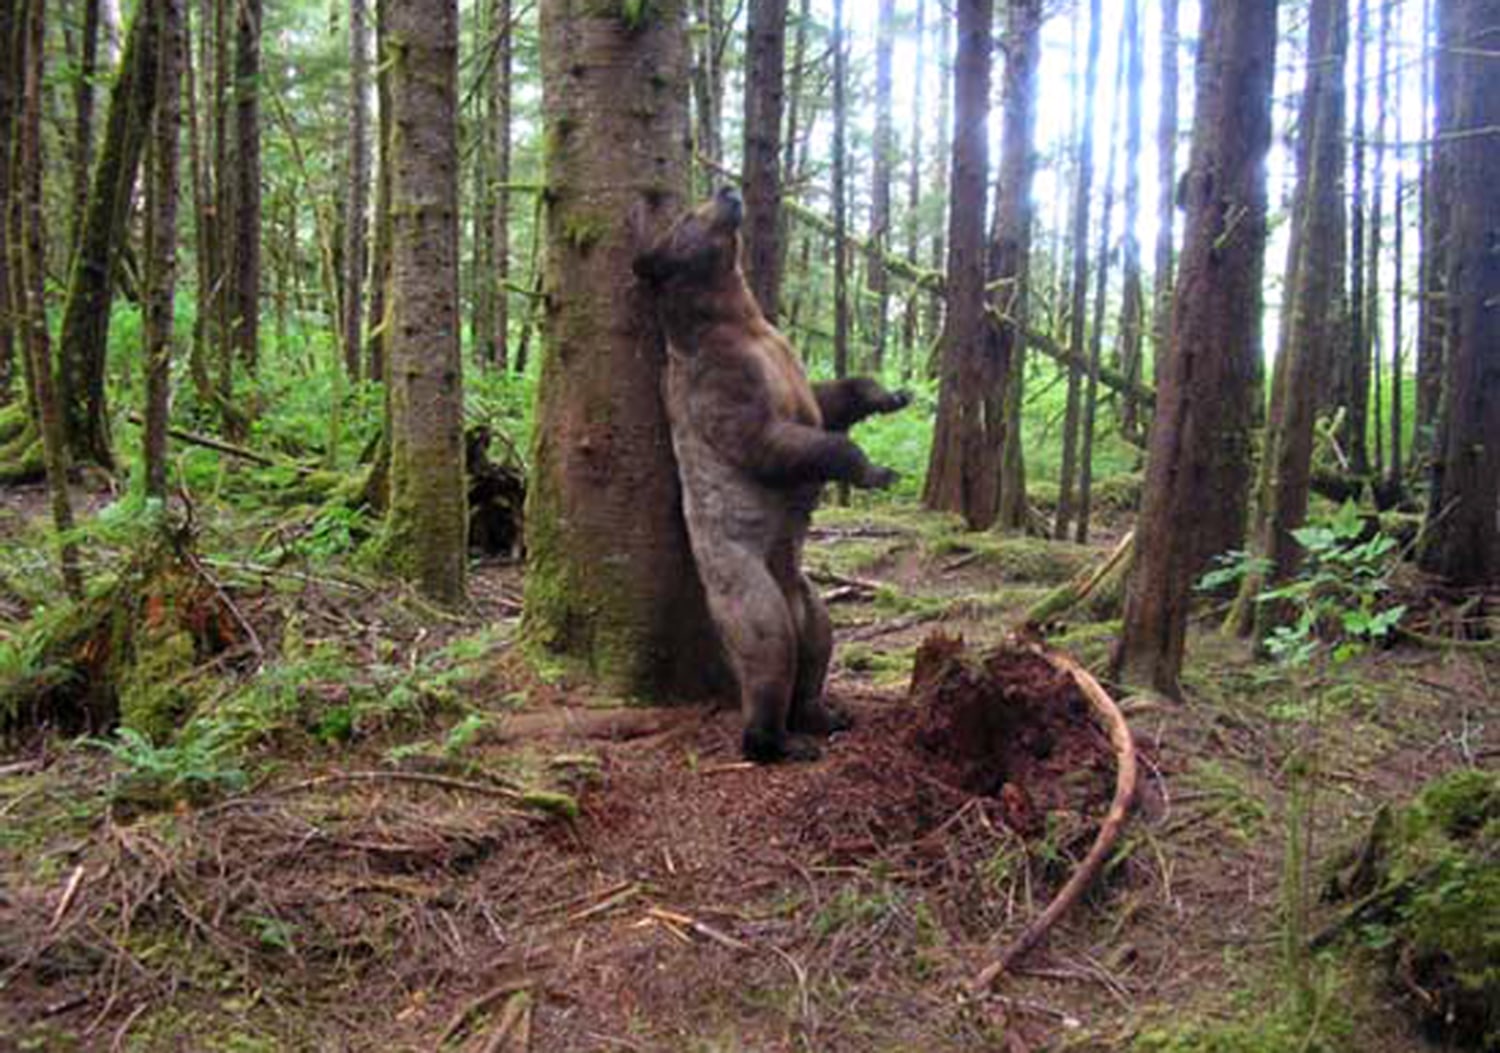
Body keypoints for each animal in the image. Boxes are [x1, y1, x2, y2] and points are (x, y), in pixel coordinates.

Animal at [633, 187, 911, 762]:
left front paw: (891, 394)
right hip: (746, 585)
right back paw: (778, 741)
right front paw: (875, 469)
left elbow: (831, 399)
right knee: (769, 652)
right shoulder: (719, 382)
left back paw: (823, 714)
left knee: (817, 648)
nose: (727, 191)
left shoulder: (784, 355)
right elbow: (772, 442)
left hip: (810, 598)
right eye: (690, 216)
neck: (740, 320)